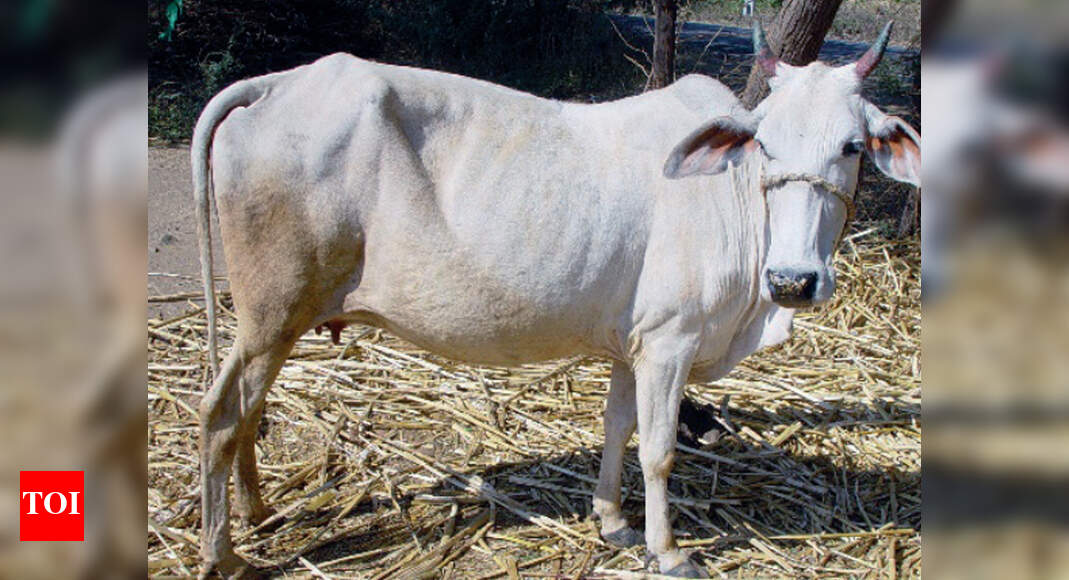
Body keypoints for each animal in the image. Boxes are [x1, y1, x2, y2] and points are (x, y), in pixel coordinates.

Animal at [192, 23, 919, 578]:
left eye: (852, 146)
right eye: (764, 145)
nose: (793, 280)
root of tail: (280, 83)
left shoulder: (635, 343)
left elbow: (617, 427)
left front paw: (612, 521)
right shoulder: (671, 341)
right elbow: (658, 449)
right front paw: (668, 552)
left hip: (277, 319)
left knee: (249, 411)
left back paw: (259, 512)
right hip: (270, 310)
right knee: (223, 413)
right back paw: (225, 554)